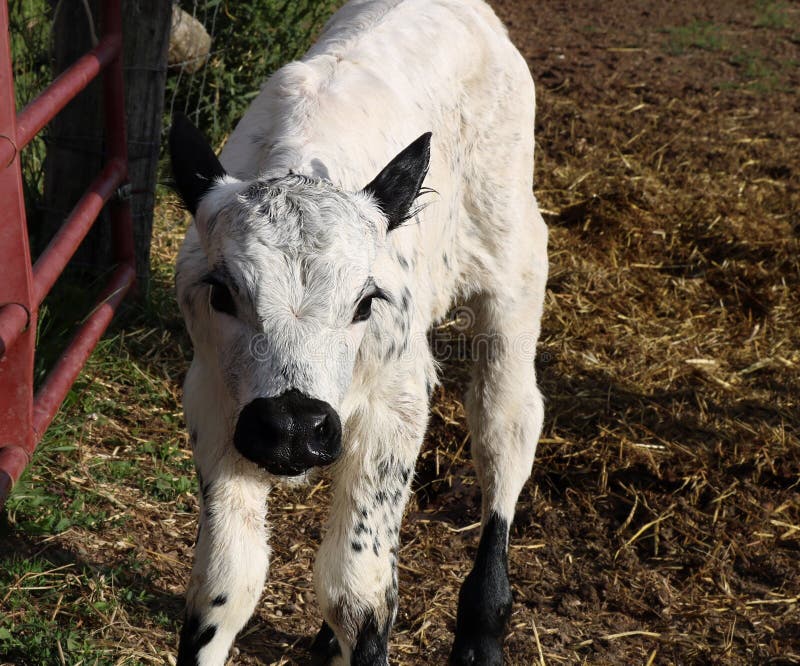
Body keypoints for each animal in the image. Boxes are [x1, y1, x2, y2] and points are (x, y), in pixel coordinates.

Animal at [169, 0, 548, 663]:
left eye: (365, 302)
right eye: (221, 293)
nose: (294, 426)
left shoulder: (397, 402)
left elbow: (359, 597)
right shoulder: (215, 399)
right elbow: (225, 584)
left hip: (516, 271)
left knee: (505, 426)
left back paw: (482, 629)